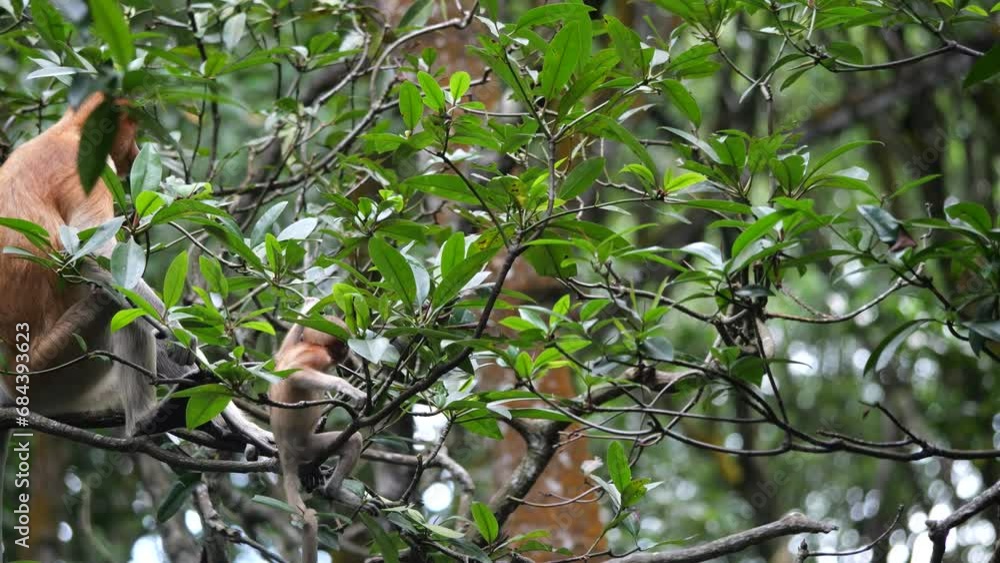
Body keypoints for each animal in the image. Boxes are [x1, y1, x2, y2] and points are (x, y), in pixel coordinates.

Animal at [269, 300, 365, 563]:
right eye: (342, 345)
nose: (347, 352)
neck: (311, 344)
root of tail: (284, 449)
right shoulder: (317, 355)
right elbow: (294, 372)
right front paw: (349, 389)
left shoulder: (292, 348)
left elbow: (281, 354)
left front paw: (311, 304)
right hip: (305, 445)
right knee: (354, 439)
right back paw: (333, 491)